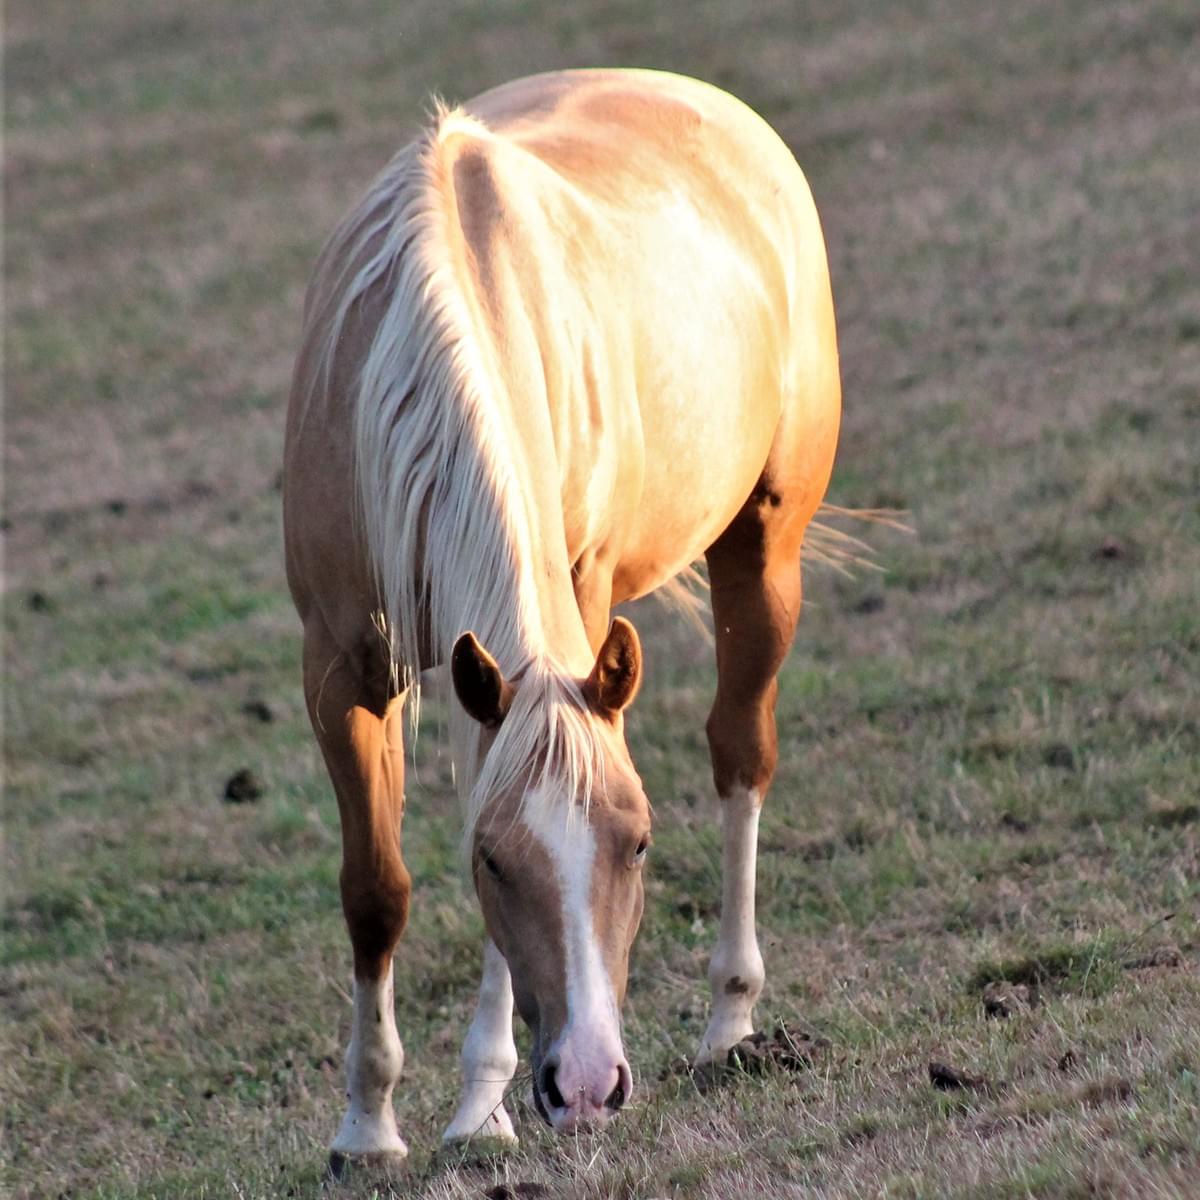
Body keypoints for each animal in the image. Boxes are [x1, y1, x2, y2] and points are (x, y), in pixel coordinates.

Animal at [282, 67, 841, 1166]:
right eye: (495, 861)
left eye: (641, 844)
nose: (586, 1086)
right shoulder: (344, 667)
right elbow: (376, 890)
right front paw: (368, 1126)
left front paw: (478, 1107)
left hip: (765, 544)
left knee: (740, 752)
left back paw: (729, 1019)